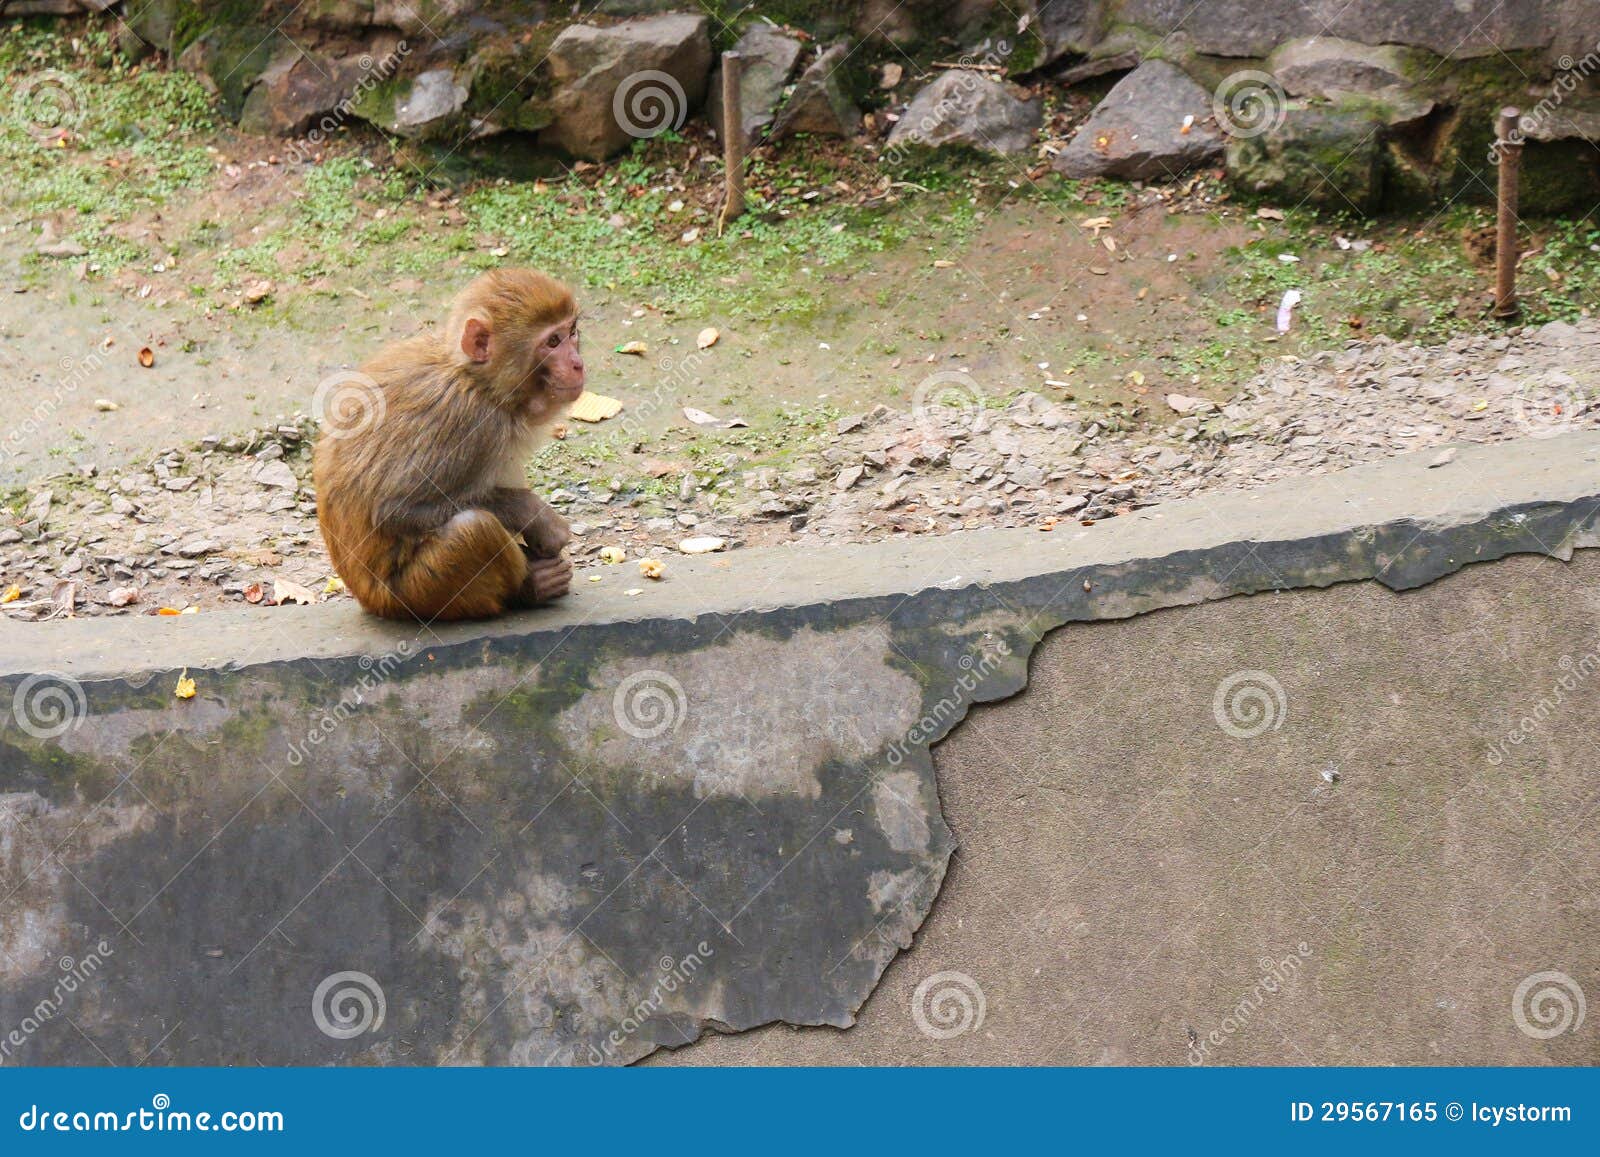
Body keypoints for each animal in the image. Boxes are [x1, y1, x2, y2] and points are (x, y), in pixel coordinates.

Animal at [313, 268, 584, 621]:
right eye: (552, 342)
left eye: (572, 333)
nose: (578, 363)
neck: (477, 382)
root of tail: (367, 601)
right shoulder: (470, 423)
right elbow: (395, 510)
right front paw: (536, 517)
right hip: (414, 596)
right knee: (473, 527)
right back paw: (531, 588)